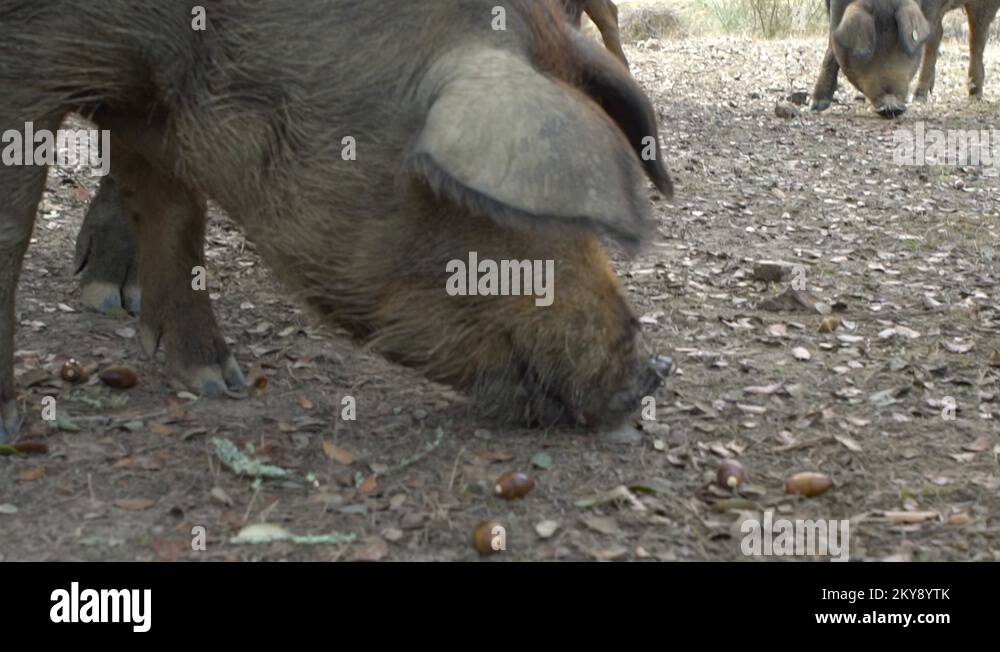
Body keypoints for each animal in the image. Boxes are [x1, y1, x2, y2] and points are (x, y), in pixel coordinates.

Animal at [0, 0, 673, 442]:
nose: (655, 372)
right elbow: (12, 230)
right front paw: (9, 425)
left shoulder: (147, 95)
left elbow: (175, 210)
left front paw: (219, 383)